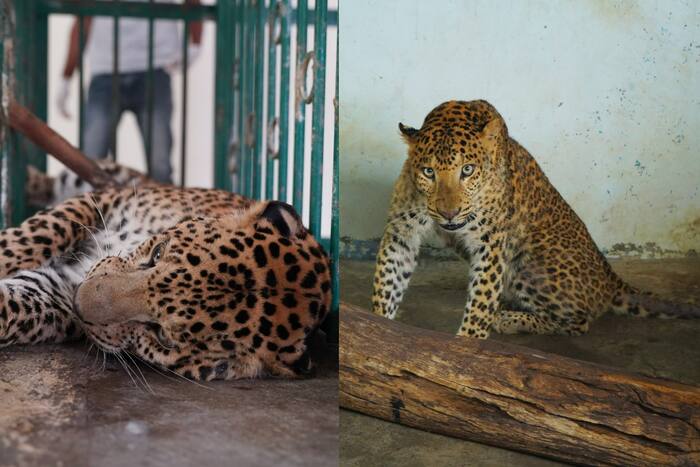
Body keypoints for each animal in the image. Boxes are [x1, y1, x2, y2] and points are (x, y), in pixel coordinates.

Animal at [2, 167, 331, 380]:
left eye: (162, 336)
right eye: (158, 253)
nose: (77, 302)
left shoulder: (58, 290)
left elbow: (18, 306)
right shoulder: (106, 199)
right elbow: (39, 233)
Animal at [372, 99, 699, 339]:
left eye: (467, 170)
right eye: (428, 172)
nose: (448, 213)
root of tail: (611, 278)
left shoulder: (491, 245)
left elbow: (479, 306)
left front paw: (465, 346)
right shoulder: (401, 233)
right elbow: (386, 284)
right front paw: (379, 332)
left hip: (529, 267)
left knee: (578, 322)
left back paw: (507, 319)